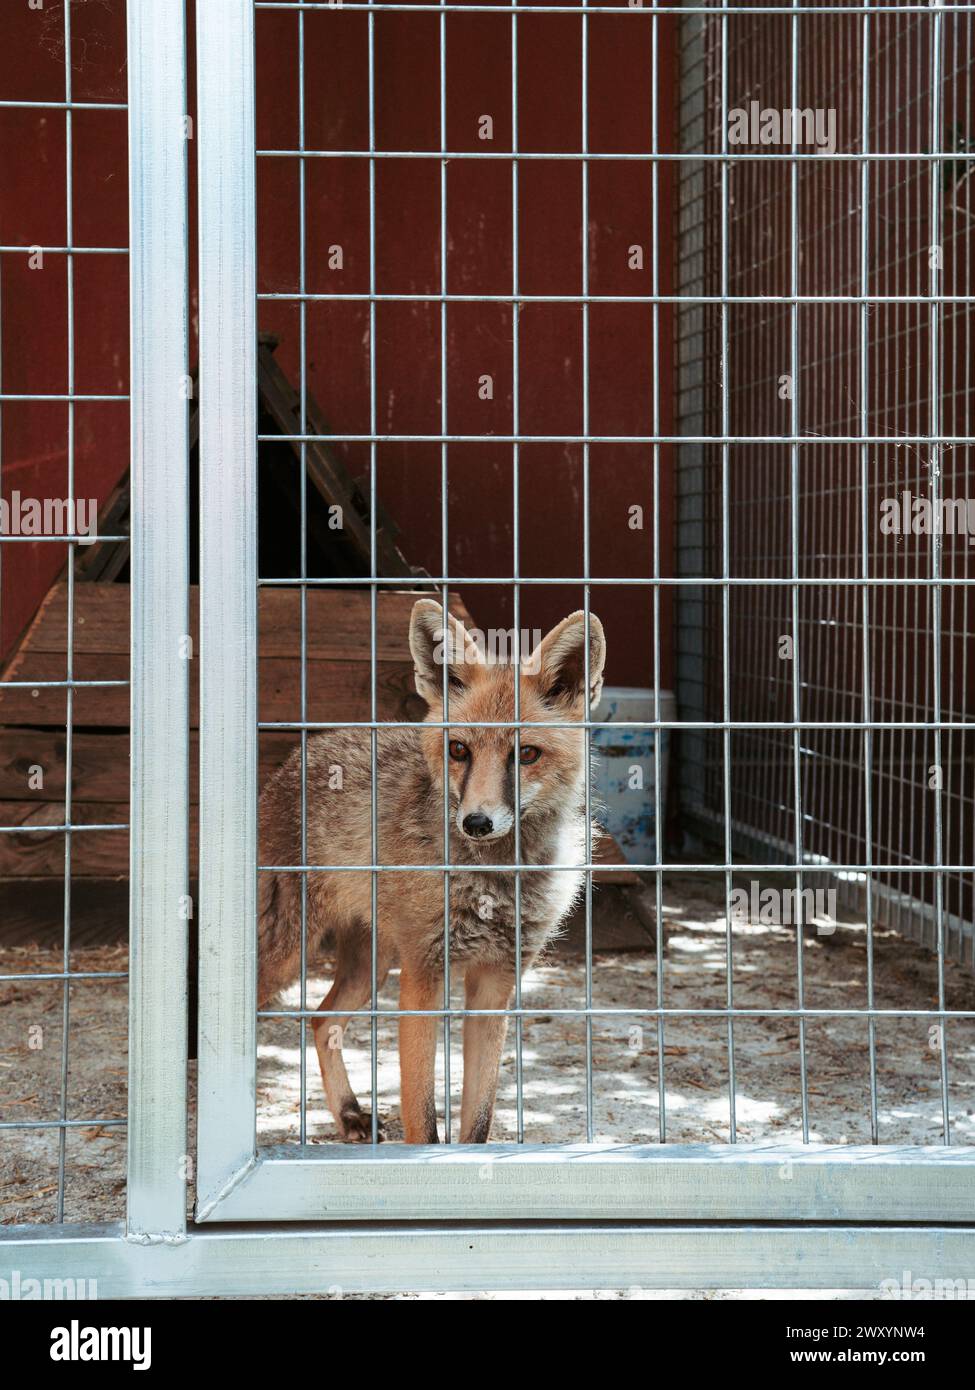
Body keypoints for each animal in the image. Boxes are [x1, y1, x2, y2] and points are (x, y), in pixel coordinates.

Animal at [257, 599, 606, 1144]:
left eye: (526, 754)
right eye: (459, 750)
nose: (477, 823)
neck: (493, 883)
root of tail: (301, 753)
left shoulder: (496, 980)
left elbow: (477, 1121)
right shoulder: (424, 972)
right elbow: (422, 1118)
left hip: (372, 964)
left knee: (321, 1018)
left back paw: (349, 1113)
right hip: (288, 952)